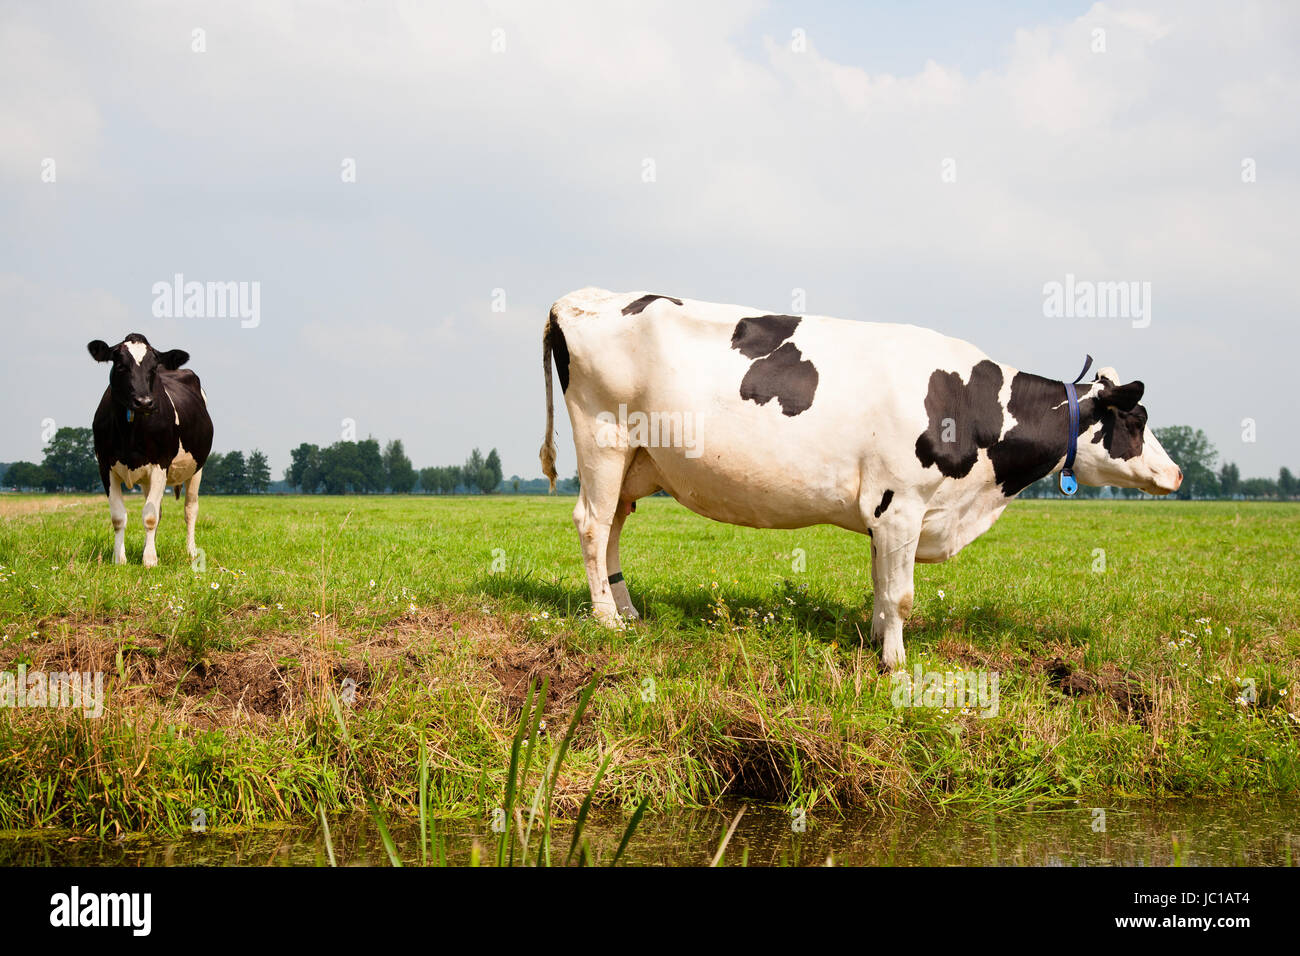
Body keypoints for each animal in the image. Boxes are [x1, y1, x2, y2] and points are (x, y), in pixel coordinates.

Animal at [87, 334, 213, 567]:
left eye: (153, 367)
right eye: (120, 365)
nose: (144, 402)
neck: (130, 430)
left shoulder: (160, 464)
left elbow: (150, 516)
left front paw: (150, 560)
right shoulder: (105, 465)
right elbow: (119, 517)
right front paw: (120, 558)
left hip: (197, 468)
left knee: (190, 509)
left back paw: (191, 551)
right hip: (147, 479)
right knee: (159, 508)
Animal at [539, 288, 1183, 669]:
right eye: (1137, 418)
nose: (1176, 473)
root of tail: (582, 299)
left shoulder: (884, 510)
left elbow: (879, 583)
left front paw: (875, 641)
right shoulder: (903, 503)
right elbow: (900, 592)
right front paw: (895, 665)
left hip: (634, 460)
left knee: (613, 526)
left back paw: (628, 612)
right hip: (602, 439)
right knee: (591, 524)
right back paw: (606, 621)